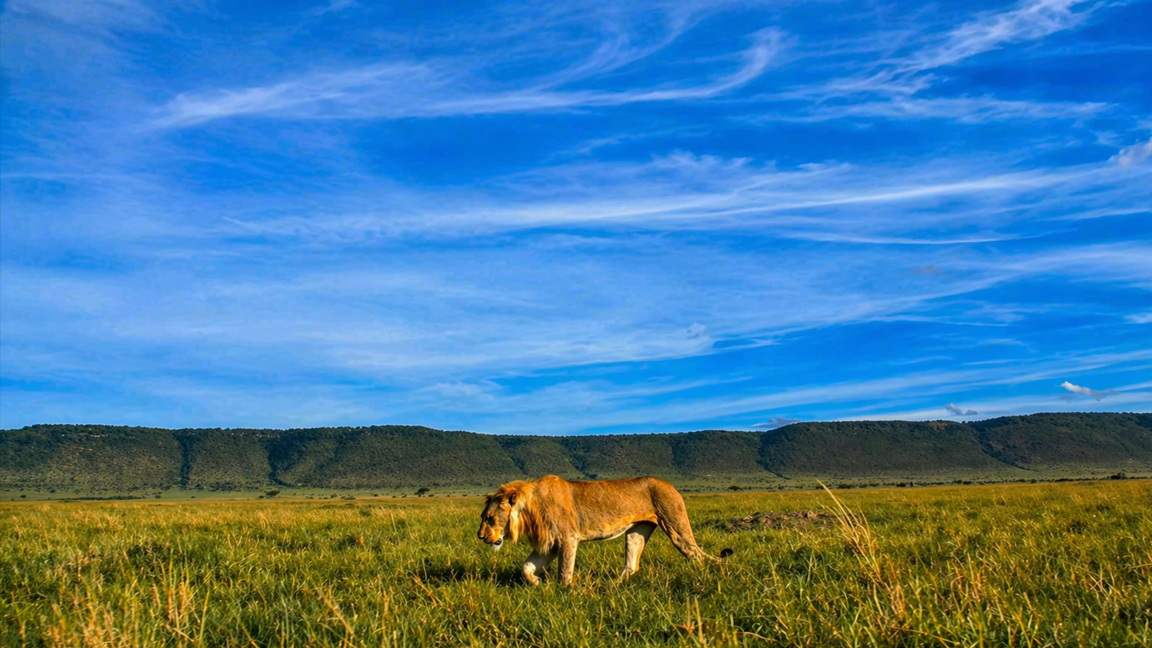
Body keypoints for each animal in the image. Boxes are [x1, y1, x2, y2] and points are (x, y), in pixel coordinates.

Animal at [477, 474, 730, 585]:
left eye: (490, 518)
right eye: (483, 517)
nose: (480, 536)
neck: (529, 510)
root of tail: (671, 485)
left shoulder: (568, 538)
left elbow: (564, 571)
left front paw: (563, 592)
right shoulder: (550, 544)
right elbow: (526, 568)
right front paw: (538, 583)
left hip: (675, 525)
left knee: (696, 554)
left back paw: (700, 576)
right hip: (636, 532)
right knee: (631, 566)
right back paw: (612, 587)